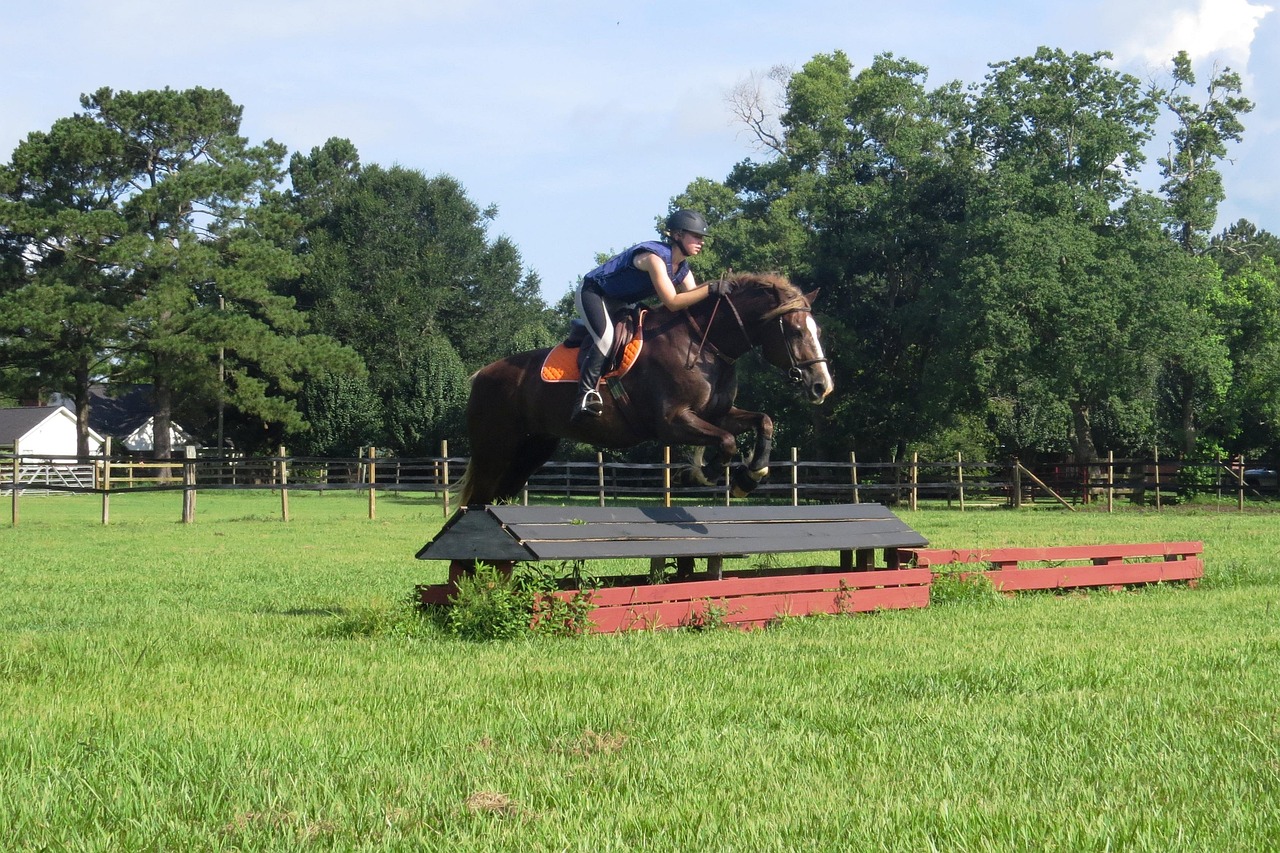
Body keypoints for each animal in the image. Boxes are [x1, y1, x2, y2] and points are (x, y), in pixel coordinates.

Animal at [457, 272, 834, 506]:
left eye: (817, 330)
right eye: (796, 332)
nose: (822, 386)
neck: (705, 344)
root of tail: (481, 374)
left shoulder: (716, 414)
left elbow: (763, 421)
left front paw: (750, 476)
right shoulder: (671, 422)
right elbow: (727, 442)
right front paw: (696, 475)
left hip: (532, 450)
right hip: (494, 451)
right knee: (477, 501)